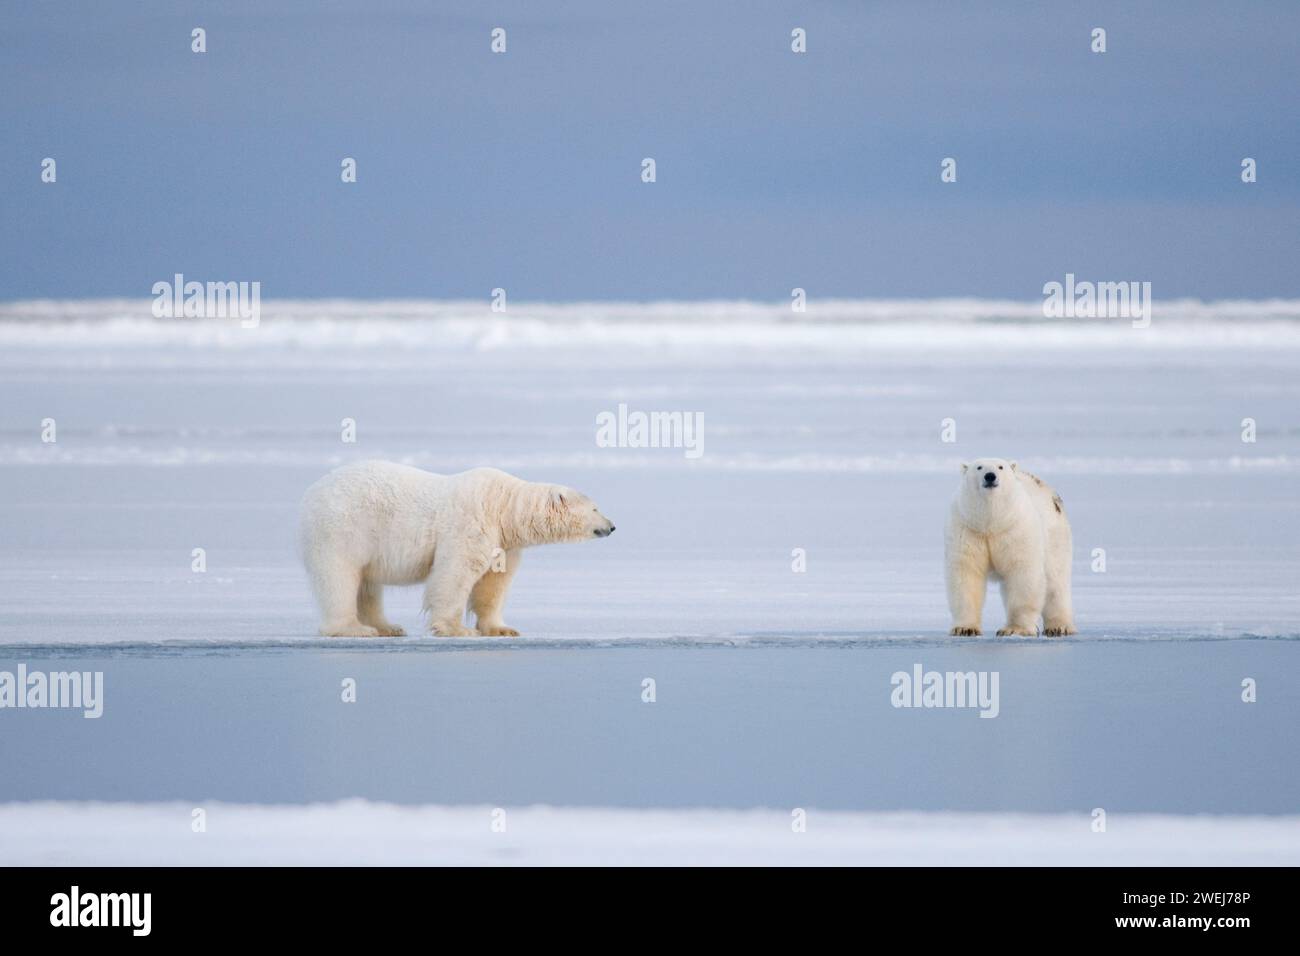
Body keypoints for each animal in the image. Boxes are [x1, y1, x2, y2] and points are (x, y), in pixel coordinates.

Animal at [299, 460, 615, 637]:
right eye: (595, 507)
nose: (612, 526)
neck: (503, 507)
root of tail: (311, 493)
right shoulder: (471, 524)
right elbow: (455, 574)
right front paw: (456, 628)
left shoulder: (504, 544)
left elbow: (493, 585)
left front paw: (501, 629)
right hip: (343, 529)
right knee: (340, 578)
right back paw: (354, 629)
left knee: (368, 586)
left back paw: (388, 627)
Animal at [944, 458, 1076, 637]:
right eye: (979, 467)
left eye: (1001, 467)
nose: (990, 476)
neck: (991, 523)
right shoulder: (968, 529)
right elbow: (966, 575)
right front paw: (965, 628)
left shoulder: (1016, 529)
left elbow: (1022, 574)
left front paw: (1014, 629)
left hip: (1055, 536)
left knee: (1056, 581)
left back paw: (1059, 627)